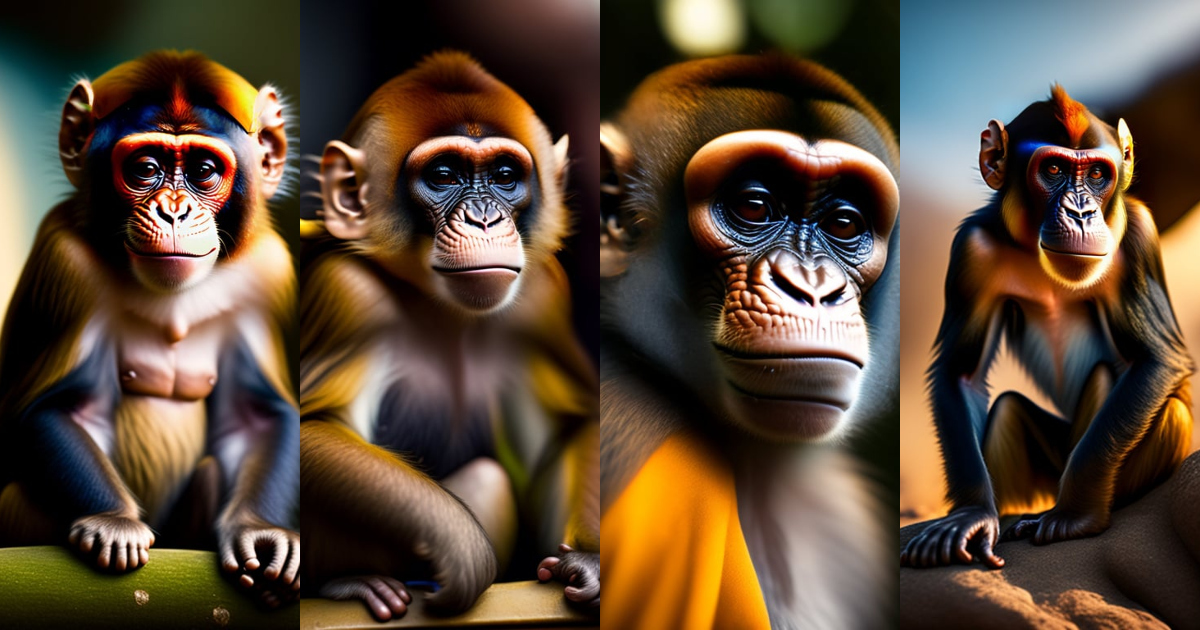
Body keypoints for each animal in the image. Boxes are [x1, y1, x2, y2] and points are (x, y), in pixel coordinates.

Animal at [0, 51, 300, 606]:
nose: (174, 210)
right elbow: (65, 407)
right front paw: (113, 522)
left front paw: (261, 532)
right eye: (145, 169)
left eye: (204, 171)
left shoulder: (267, 274)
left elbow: (255, 418)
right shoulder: (64, 260)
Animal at [298, 50, 598, 622]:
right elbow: (309, 428)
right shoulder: (348, 293)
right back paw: (350, 581)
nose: (484, 220)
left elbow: (570, 426)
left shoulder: (542, 296)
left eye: (504, 176)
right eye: (443, 176)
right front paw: (456, 542)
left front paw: (589, 560)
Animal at [900, 86, 1194, 570]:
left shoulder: (1138, 237)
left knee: (1155, 402)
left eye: (1097, 173)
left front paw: (1077, 515)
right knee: (1008, 411)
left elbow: (1157, 359)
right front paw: (970, 515)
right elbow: (962, 373)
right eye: (1053, 169)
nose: (1080, 212)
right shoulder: (971, 251)